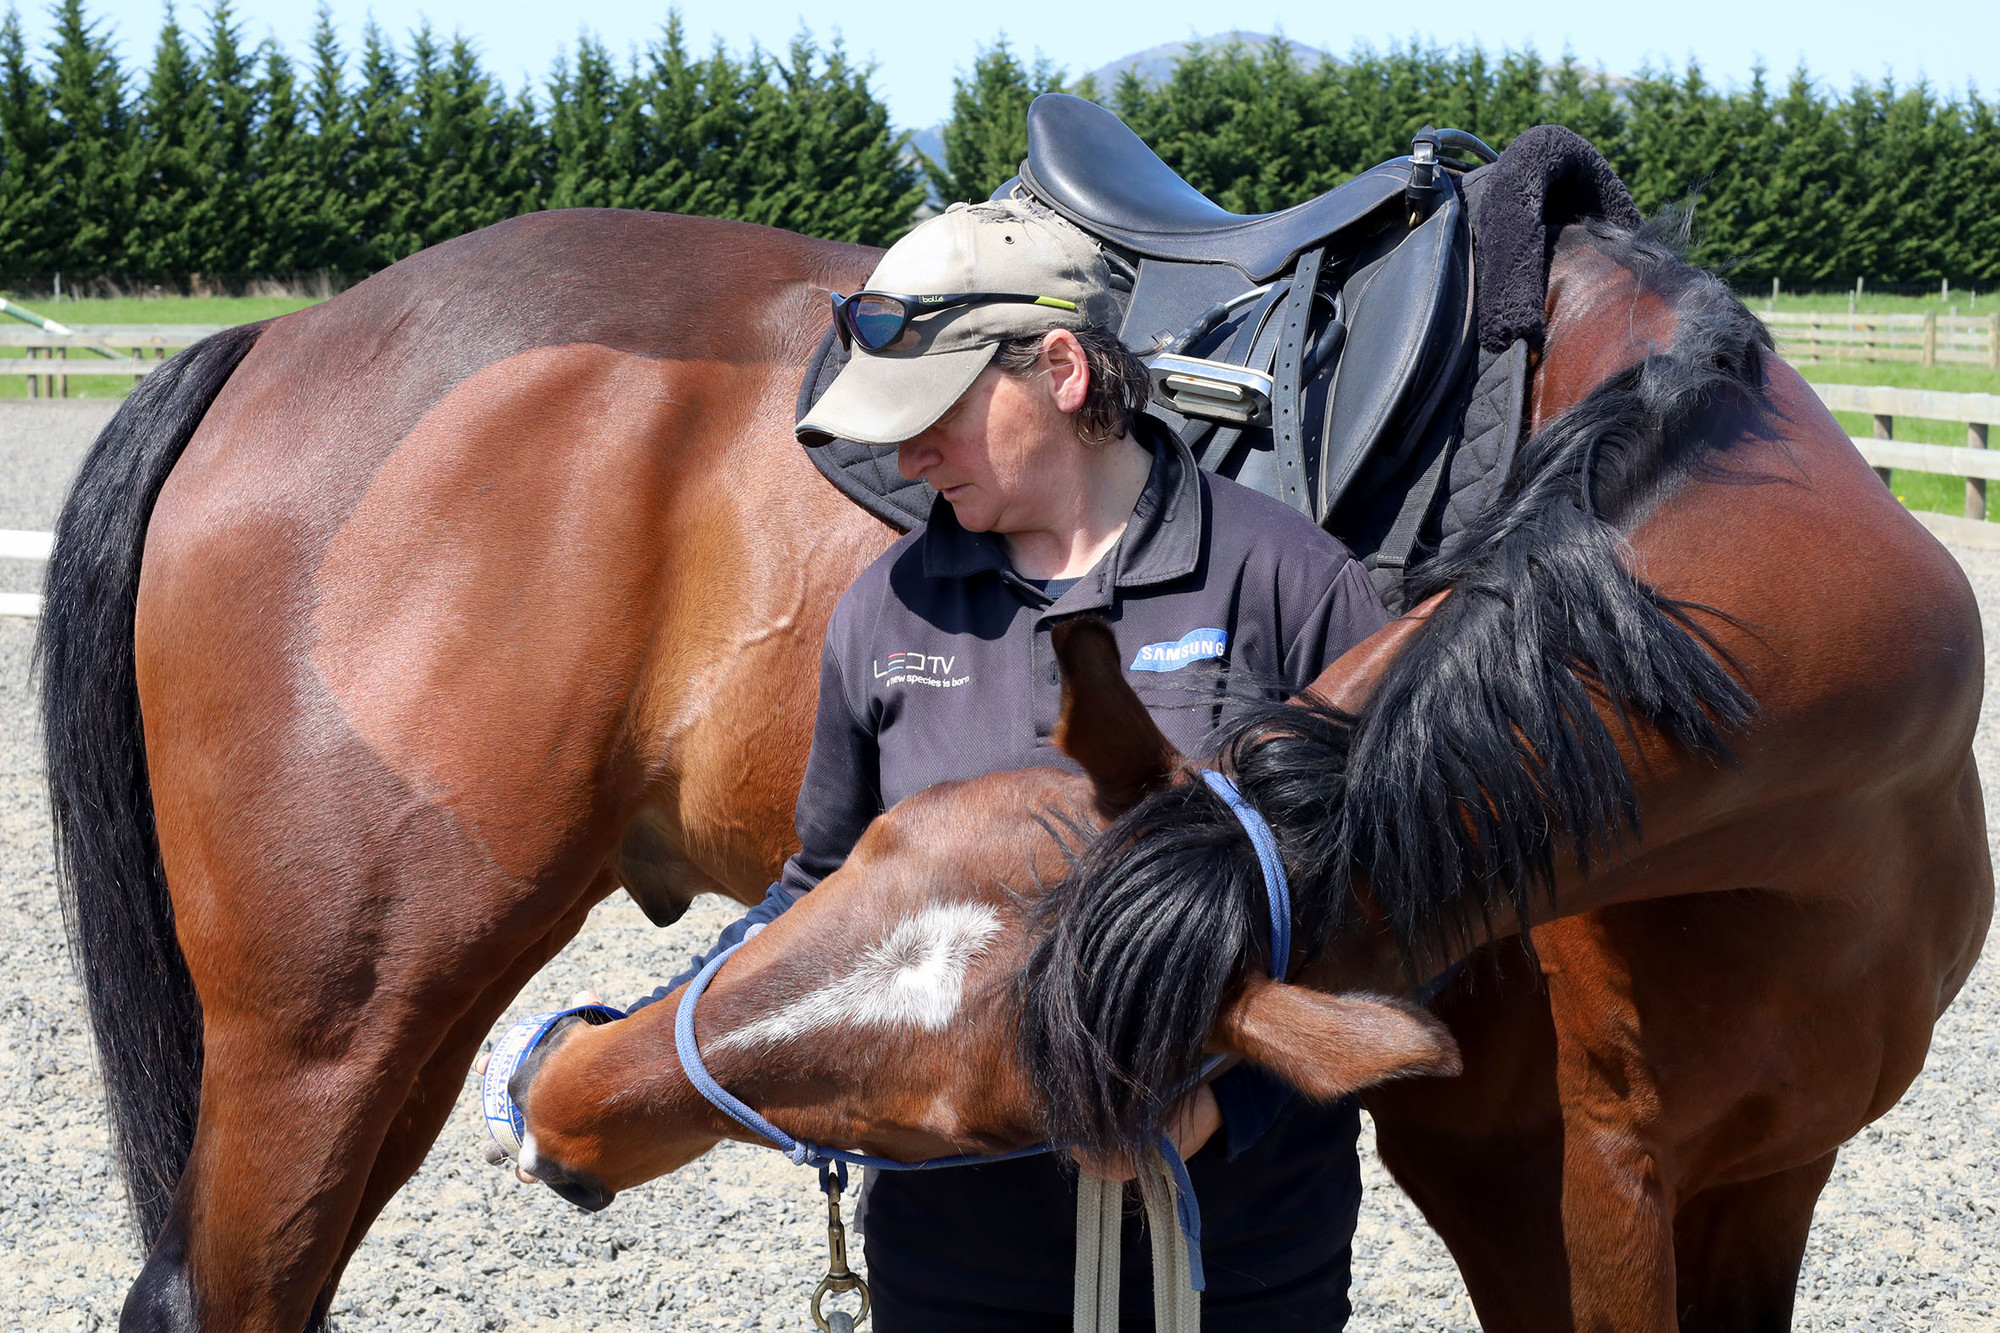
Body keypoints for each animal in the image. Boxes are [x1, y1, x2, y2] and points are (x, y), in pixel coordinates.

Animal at [37, 196, 1987, 1333]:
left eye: (977, 1111)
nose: (574, 1096)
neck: (1817, 828)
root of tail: (280, 338)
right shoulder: (1551, 1175)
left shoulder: (1766, 1178)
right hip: (325, 1028)